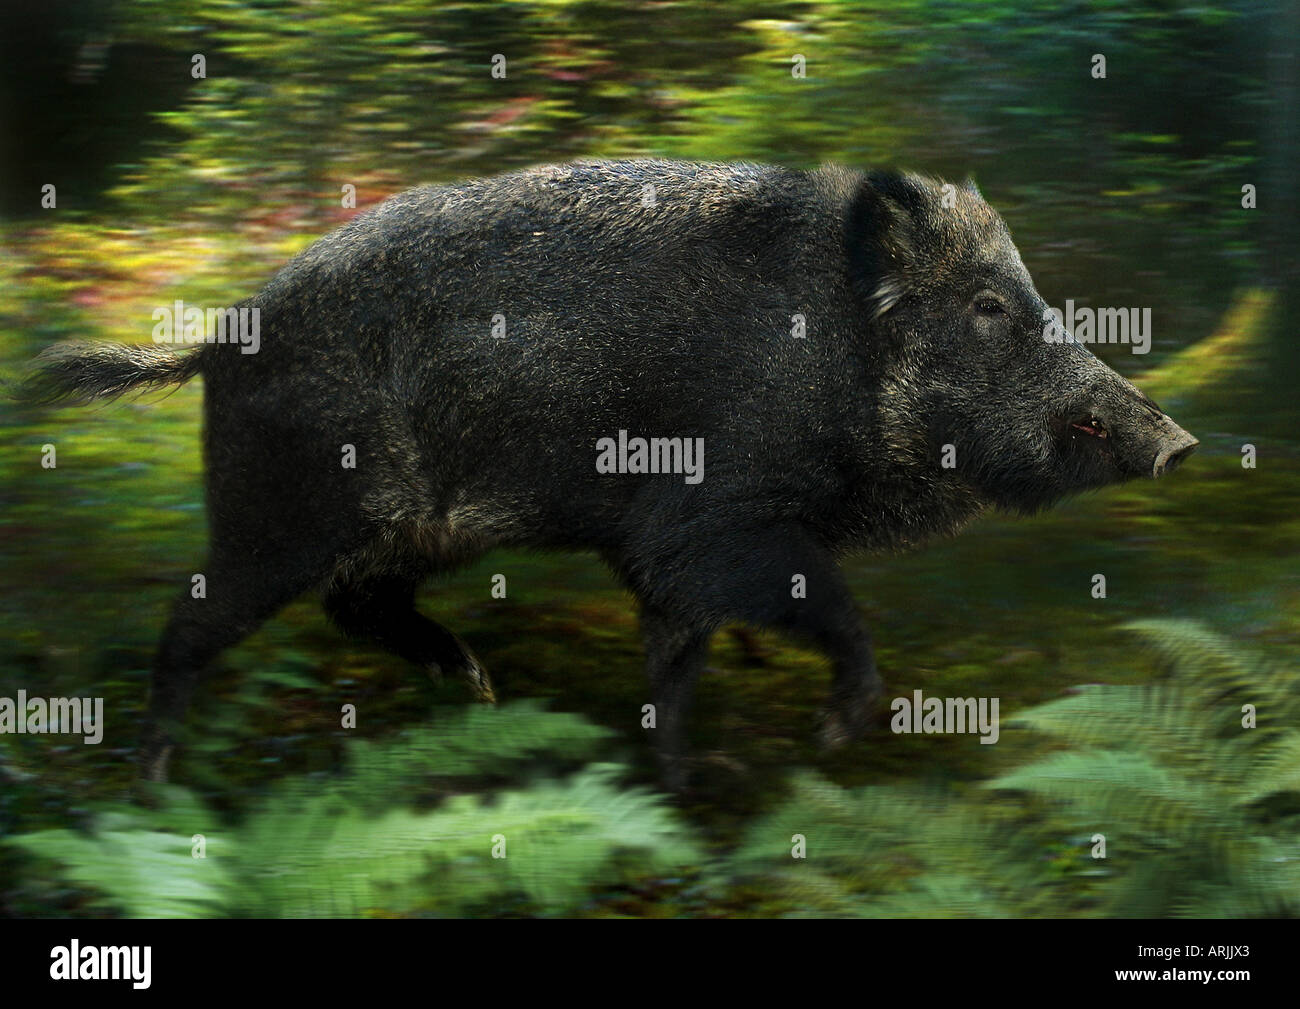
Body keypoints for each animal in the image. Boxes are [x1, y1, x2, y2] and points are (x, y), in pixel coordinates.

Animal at [22, 160, 1198, 788]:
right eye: (991, 306)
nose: (1178, 442)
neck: (834, 356)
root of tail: (216, 339)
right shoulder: (709, 518)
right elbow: (814, 606)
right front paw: (831, 734)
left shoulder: (666, 558)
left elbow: (674, 664)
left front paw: (681, 781)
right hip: (284, 509)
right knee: (195, 618)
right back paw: (154, 780)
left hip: (407, 528)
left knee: (356, 605)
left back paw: (477, 686)